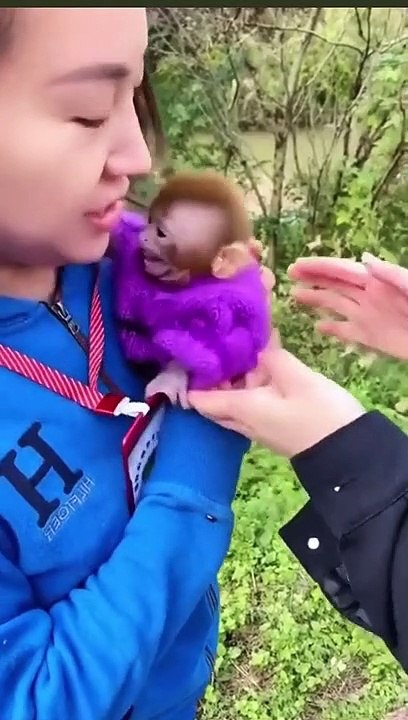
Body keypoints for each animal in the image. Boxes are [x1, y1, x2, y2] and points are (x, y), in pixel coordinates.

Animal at [111, 170, 271, 405]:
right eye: (149, 221)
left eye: (161, 233)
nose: (144, 237)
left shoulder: (220, 301)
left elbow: (208, 337)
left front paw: (172, 377)